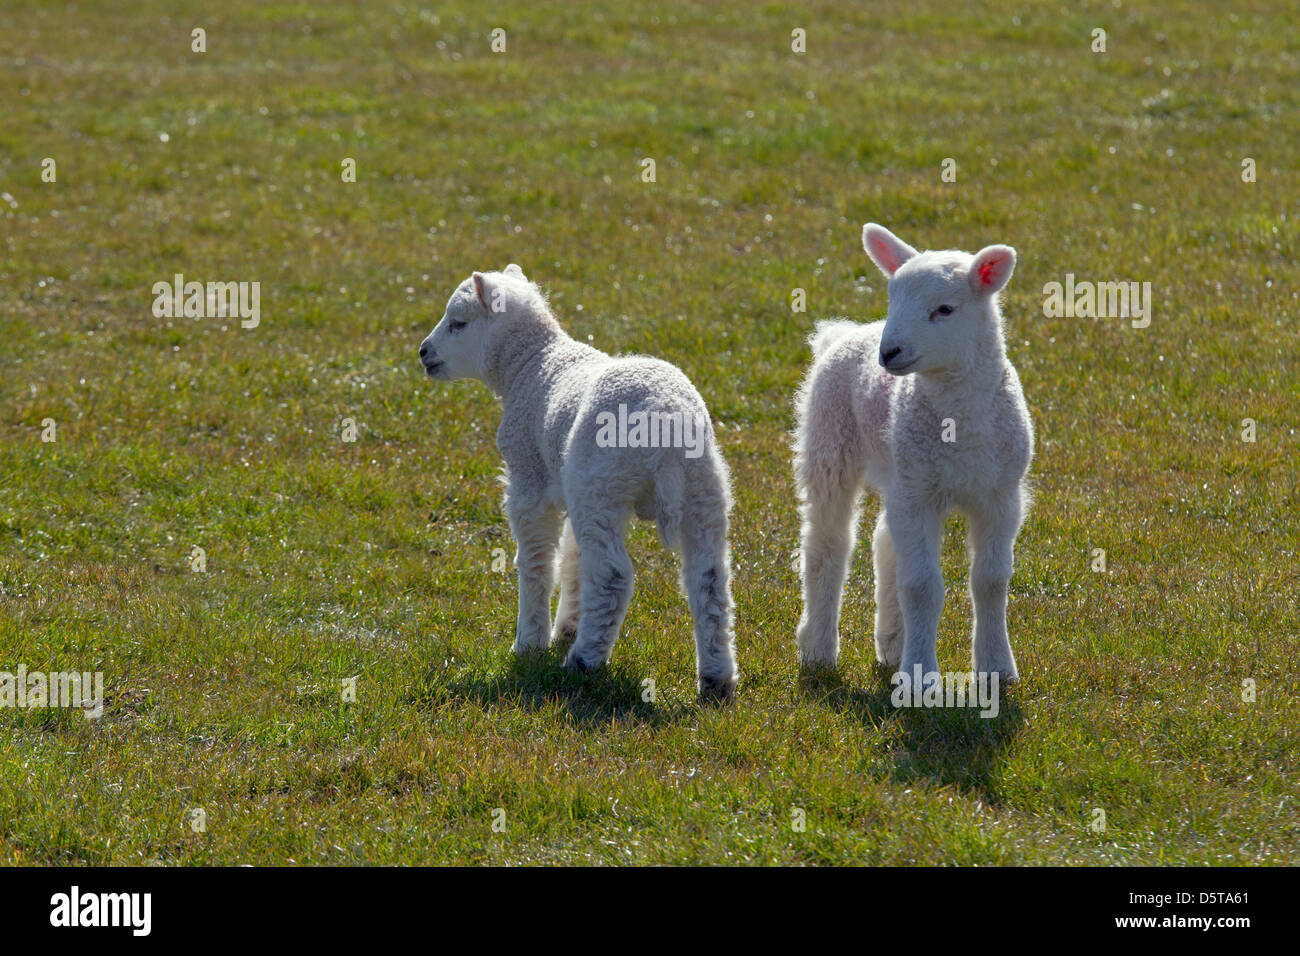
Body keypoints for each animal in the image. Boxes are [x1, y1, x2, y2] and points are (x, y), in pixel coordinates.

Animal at [419, 264, 739, 700]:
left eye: (458, 323)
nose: (423, 352)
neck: (531, 364)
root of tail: (666, 420)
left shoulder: (529, 479)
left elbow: (536, 561)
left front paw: (530, 643)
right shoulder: (567, 480)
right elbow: (573, 560)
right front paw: (565, 628)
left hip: (603, 484)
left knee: (612, 577)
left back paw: (584, 663)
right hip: (699, 487)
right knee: (709, 579)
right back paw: (716, 678)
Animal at [793, 224, 1033, 687]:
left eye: (944, 309)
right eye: (892, 299)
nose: (888, 353)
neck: (960, 425)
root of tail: (845, 334)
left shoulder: (1001, 495)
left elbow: (991, 581)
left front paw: (996, 668)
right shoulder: (920, 495)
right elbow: (922, 587)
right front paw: (921, 676)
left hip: (900, 471)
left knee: (885, 542)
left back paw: (891, 644)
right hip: (830, 442)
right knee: (827, 543)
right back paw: (818, 650)